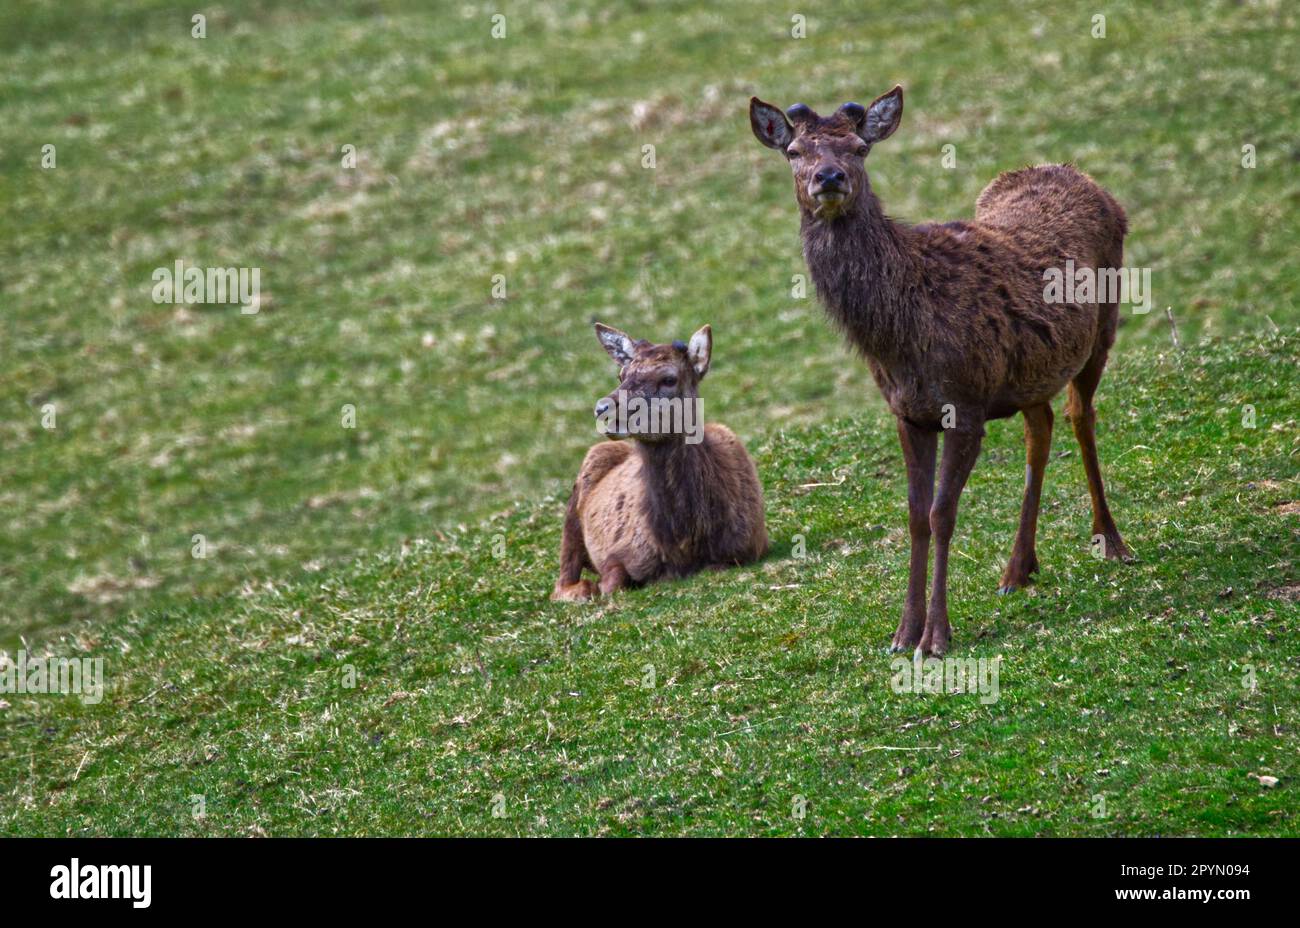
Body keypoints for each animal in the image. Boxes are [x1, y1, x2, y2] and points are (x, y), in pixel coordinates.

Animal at [551, 323, 768, 602]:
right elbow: (611, 584)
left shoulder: (751, 546)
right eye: (621, 375)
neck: (684, 544)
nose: (603, 409)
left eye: (668, 379)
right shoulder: (617, 553)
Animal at [750, 85, 1133, 656]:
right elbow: (915, 517)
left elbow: (942, 513)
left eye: (859, 149)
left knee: (1080, 417)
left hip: (1102, 328)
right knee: (1040, 426)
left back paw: (1111, 541)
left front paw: (936, 636)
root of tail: (1080, 176)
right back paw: (1018, 568)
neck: (901, 336)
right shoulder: (908, 413)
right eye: (795, 152)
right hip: (1029, 374)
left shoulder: (965, 404)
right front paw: (902, 633)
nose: (830, 178)